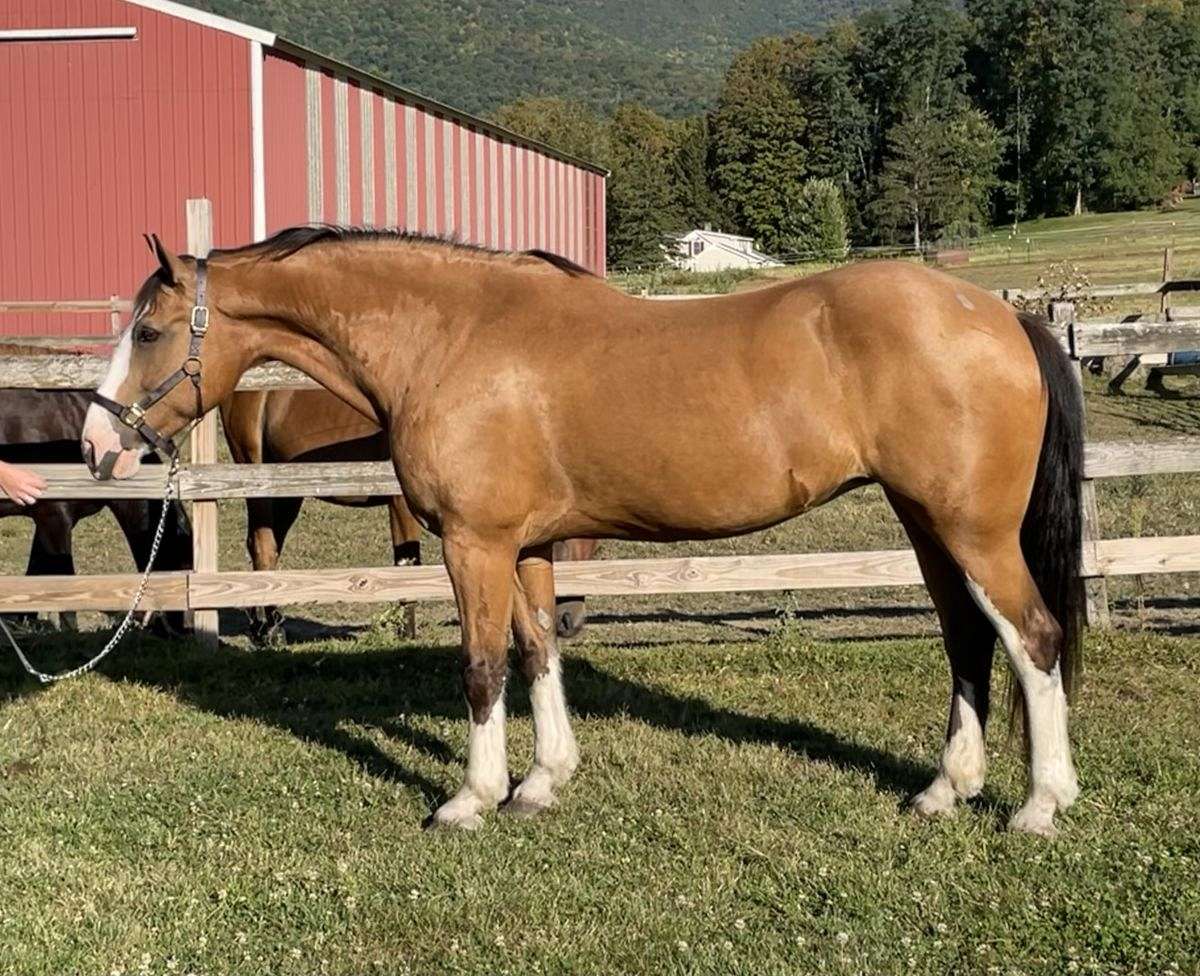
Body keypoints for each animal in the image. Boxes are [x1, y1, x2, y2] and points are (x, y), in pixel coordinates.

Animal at [0, 384, 193, 634]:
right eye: (184, 562)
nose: (188, 630)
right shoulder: (53, 518)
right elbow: (63, 581)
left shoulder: (54, 521)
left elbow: (38, 570)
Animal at [219, 389, 601, 644]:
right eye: (563, 538)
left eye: (596, 543)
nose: (570, 621)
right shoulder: (400, 505)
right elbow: (408, 562)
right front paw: (406, 628)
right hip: (256, 476)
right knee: (263, 546)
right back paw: (271, 628)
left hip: (286, 491)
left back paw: (261, 622)